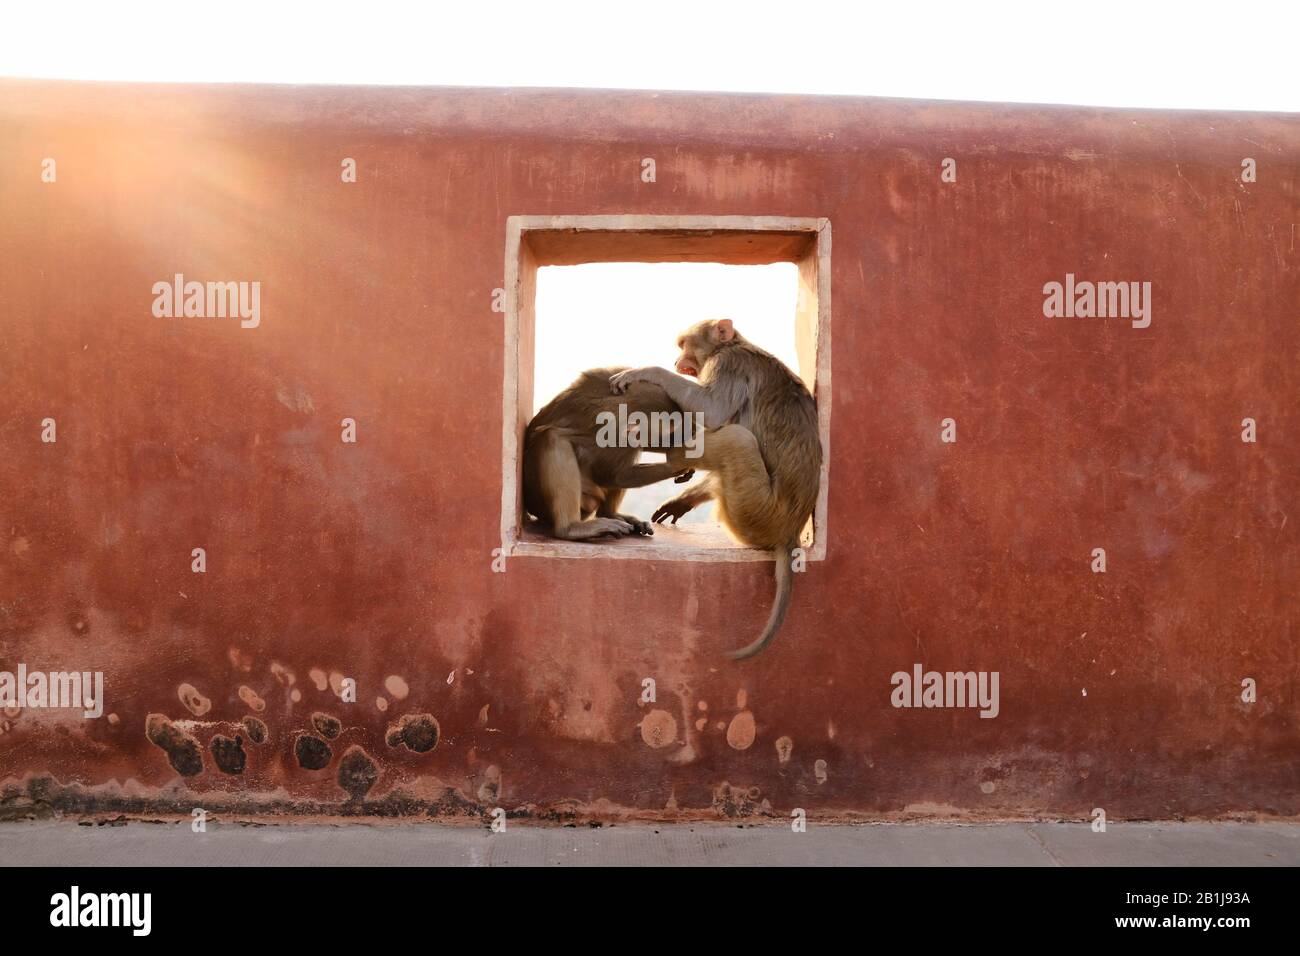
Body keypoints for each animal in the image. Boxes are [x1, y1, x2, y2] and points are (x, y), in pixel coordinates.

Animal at [523, 368, 696, 541]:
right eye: (672, 434)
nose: (686, 436)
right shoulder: (615, 431)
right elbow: (612, 476)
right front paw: (677, 464)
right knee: (552, 437)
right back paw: (570, 528)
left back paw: (609, 513)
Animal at [610, 318, 820, 659]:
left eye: (684, 345)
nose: (675, 361)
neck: (733, 344)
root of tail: (789, 533)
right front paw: (683, 500)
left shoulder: (726, 365)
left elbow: (712, 410)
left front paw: (645, 371)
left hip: (755, 510)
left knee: (737, 437)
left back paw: (663, 444)